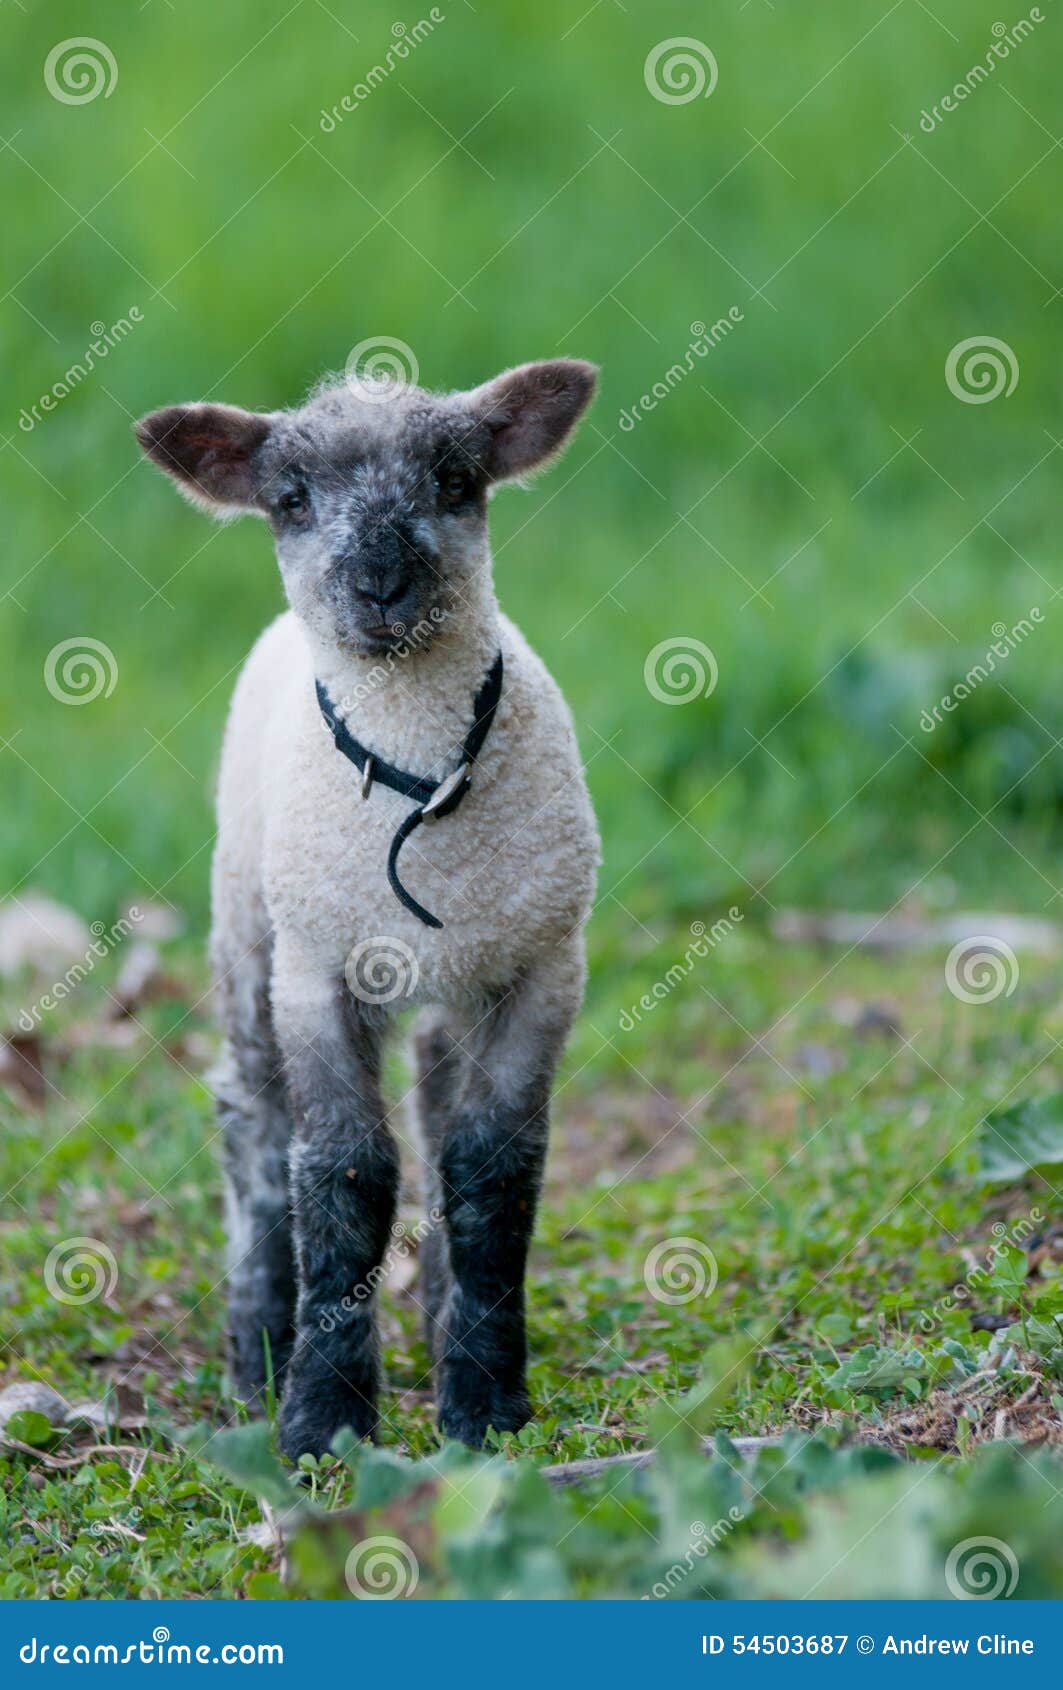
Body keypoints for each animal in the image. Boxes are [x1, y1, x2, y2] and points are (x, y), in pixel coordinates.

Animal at [135, 359, 600, 1458]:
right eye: (290, 502)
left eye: (456, 482)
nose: (380, 585)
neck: (419, 784)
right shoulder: (316, 970)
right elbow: (344, 1172)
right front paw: (322, 1416)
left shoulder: (542, 968)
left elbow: (489, 1167)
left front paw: (483, 1399)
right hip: (247, 922)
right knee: (254, 1118)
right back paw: (259, 1344)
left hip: (453, 976)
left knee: (434, 1114)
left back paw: (431, 1319)